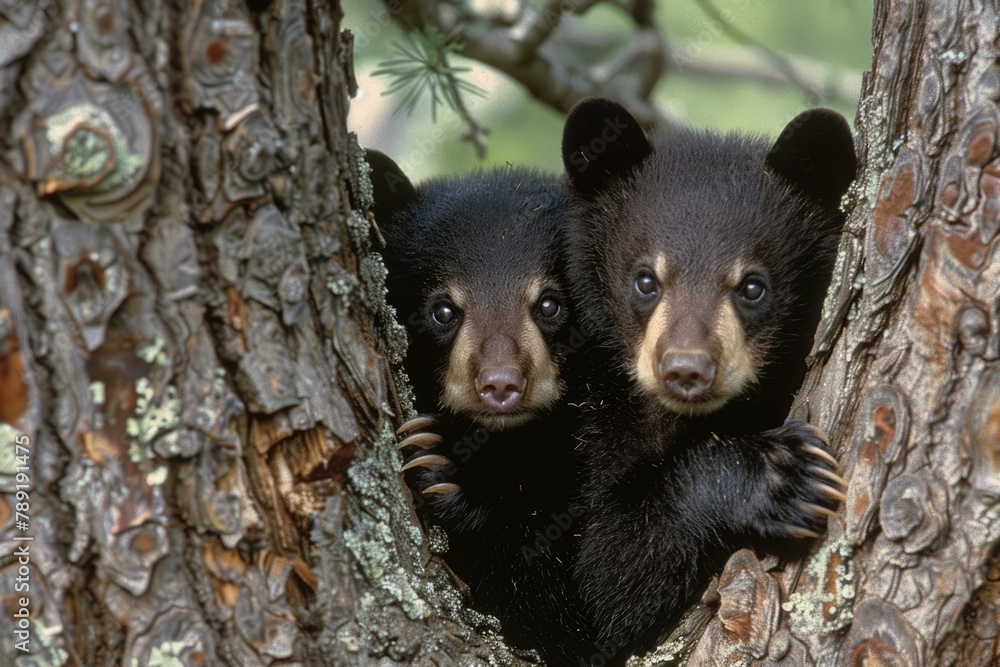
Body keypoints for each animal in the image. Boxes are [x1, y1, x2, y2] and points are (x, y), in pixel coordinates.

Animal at [558, 98, 857, 664]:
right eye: (645, 279)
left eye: (752, 286)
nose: (686, 368)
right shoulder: (591, 432)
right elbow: (605, 581)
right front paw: (783, 477)